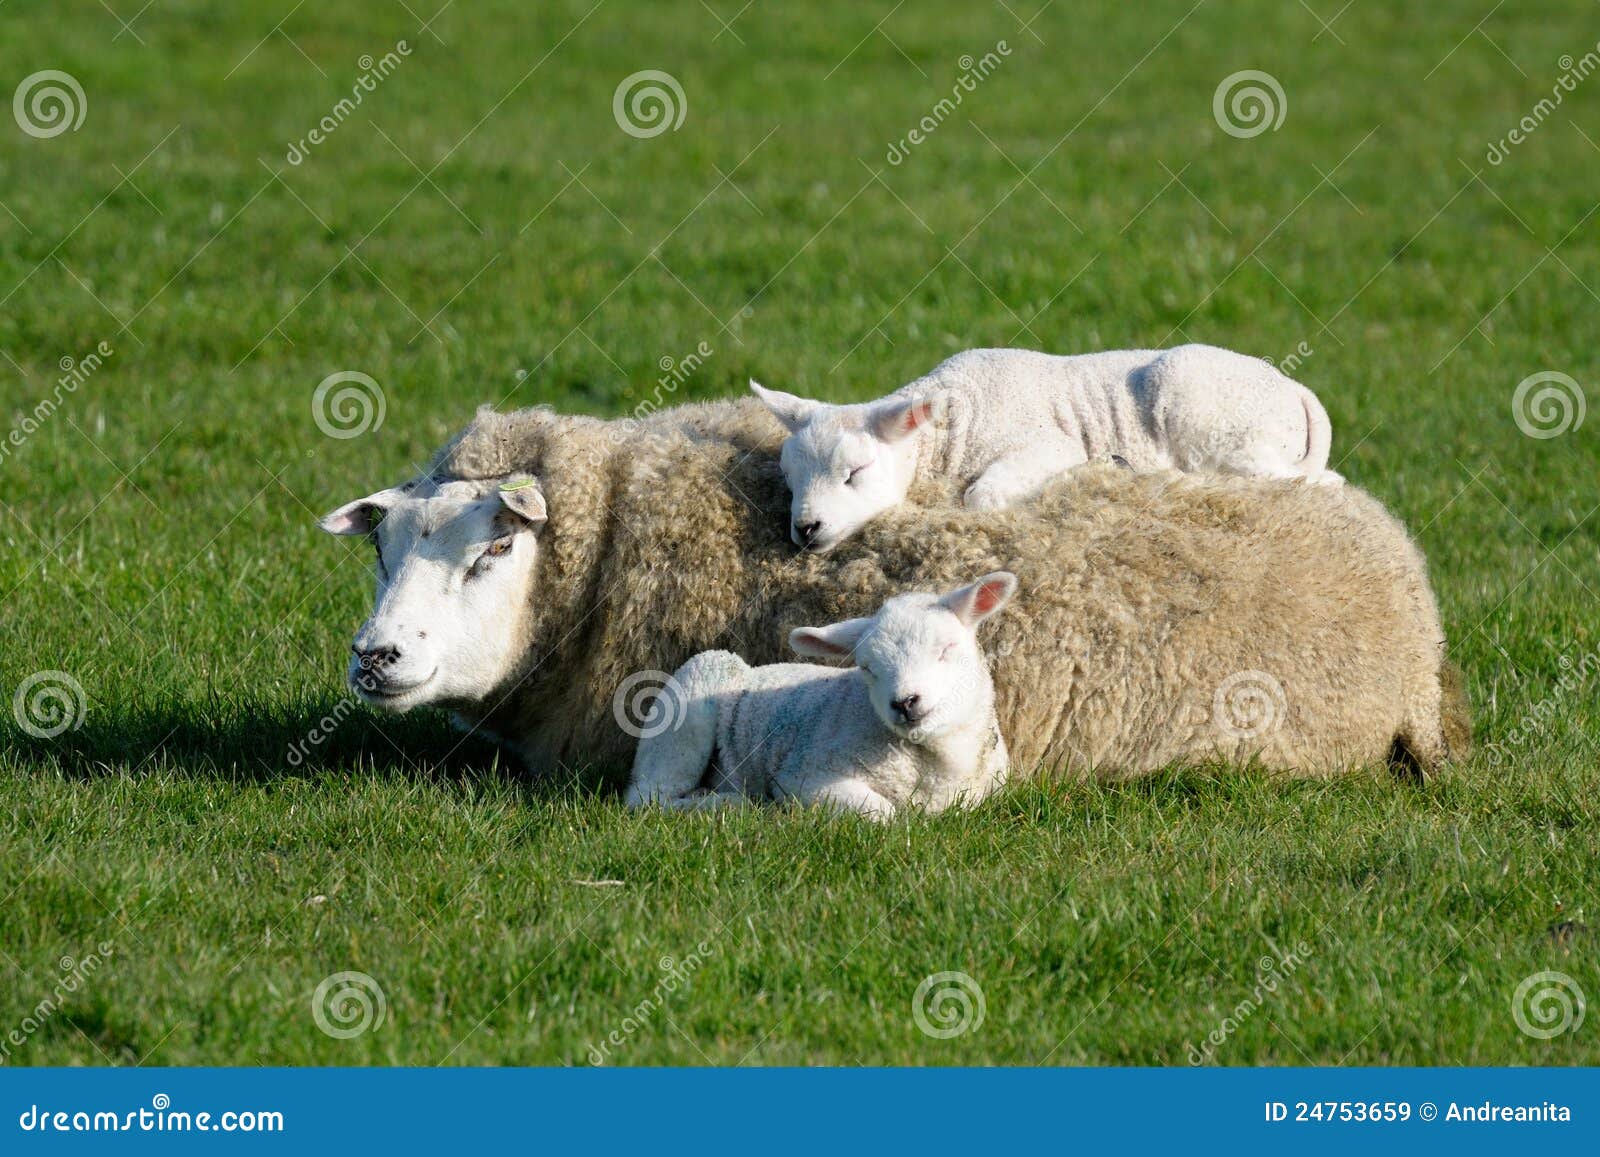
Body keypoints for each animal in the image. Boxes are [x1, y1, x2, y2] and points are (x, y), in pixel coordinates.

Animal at [624, 573, 1017, 819]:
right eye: (867, 668)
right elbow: (885, 814)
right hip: (687, 704)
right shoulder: (804, 777)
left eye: (946, 648)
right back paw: (728, 804)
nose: (904, 702)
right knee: (647, 798)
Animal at [750, 344, 1340, 551]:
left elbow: (980, 498)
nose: (807, 529)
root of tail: (1295, 390)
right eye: (790, 481)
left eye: (856, 472)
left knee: (1315, 481)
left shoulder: (1048, 447)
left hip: (1210, 415)